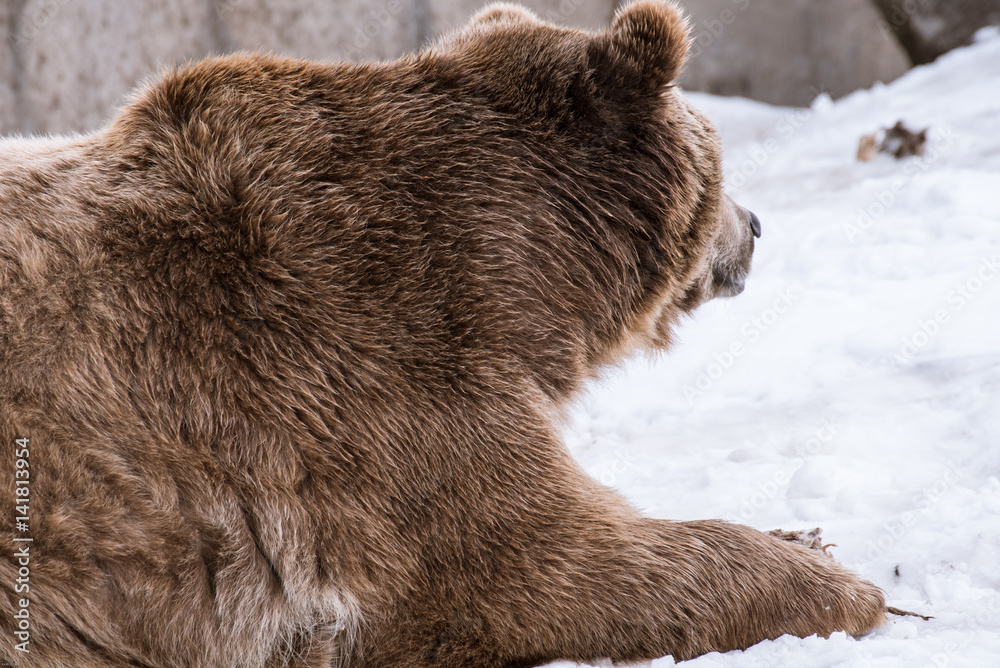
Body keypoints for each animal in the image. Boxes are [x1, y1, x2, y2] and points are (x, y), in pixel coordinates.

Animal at [0, 1, 885, 666]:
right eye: (722, 159)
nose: (756, 226)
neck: (531, 273)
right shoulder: (358, 379)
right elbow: (552, 563)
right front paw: (842, 583)